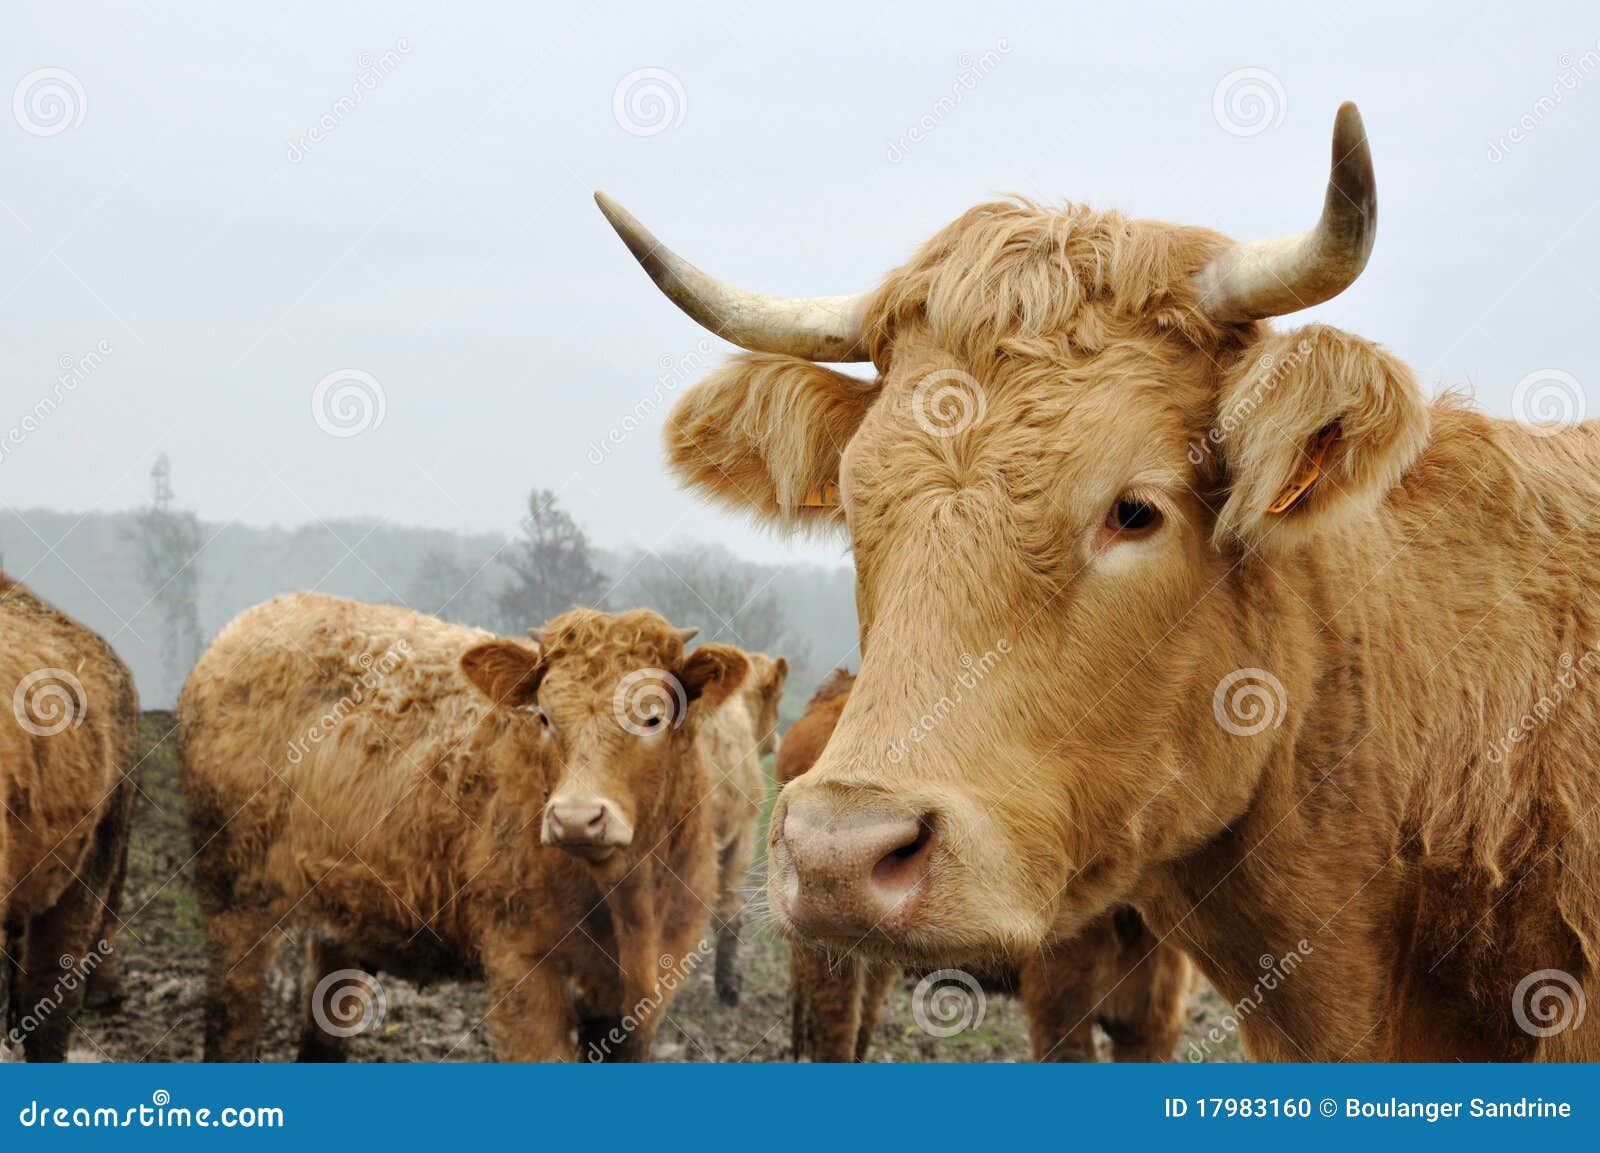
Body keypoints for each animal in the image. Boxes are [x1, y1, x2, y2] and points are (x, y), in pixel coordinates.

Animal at [178, 593, 746, 1061]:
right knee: (230, 1026)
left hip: (343, 920)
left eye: (652, 716)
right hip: (235, 899)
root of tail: (257, 618)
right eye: (544, 716)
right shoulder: (521, 974)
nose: (575, 817)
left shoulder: (641, 1001)